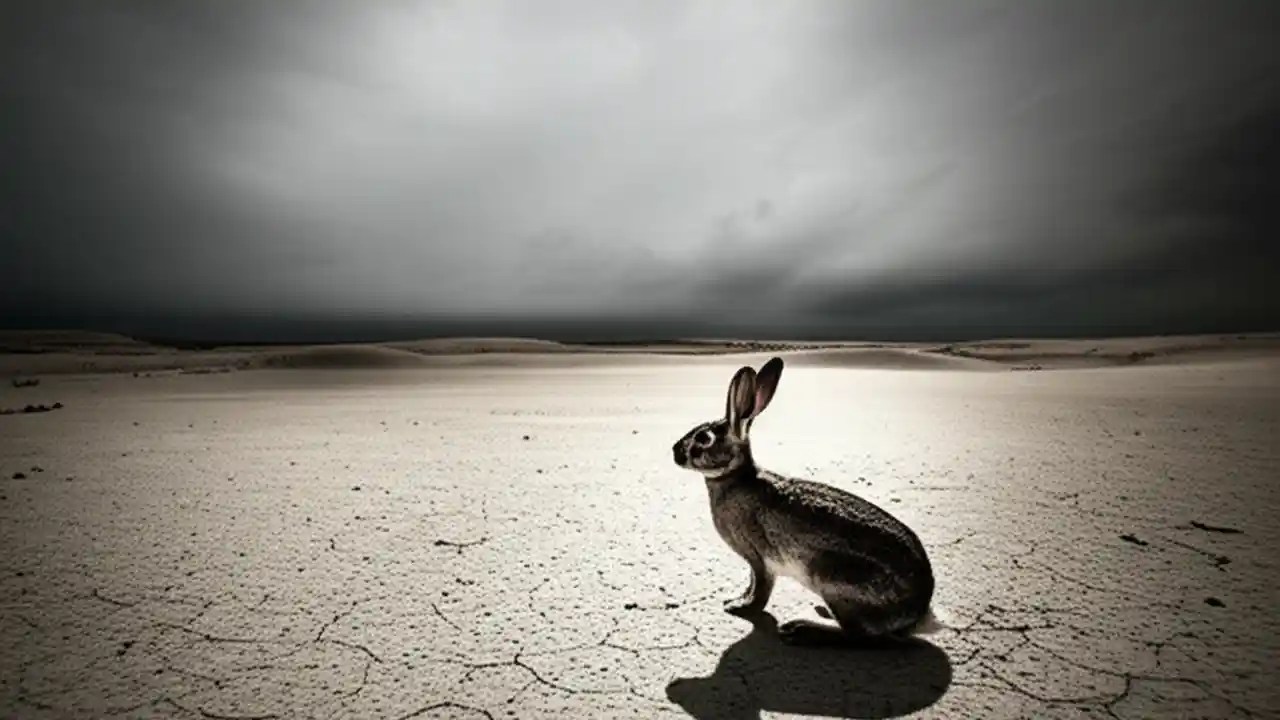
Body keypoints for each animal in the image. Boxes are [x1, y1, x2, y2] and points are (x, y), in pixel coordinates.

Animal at [671, 356, 938, 646]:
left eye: (703, 439)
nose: (674, 451)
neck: (735, 478)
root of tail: (918, 611)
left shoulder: (758, 558)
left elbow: (760, 589)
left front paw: (739, 607)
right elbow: (751, 584)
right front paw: (737, 599)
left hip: (833, 578)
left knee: (857, 636)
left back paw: (800, 629)